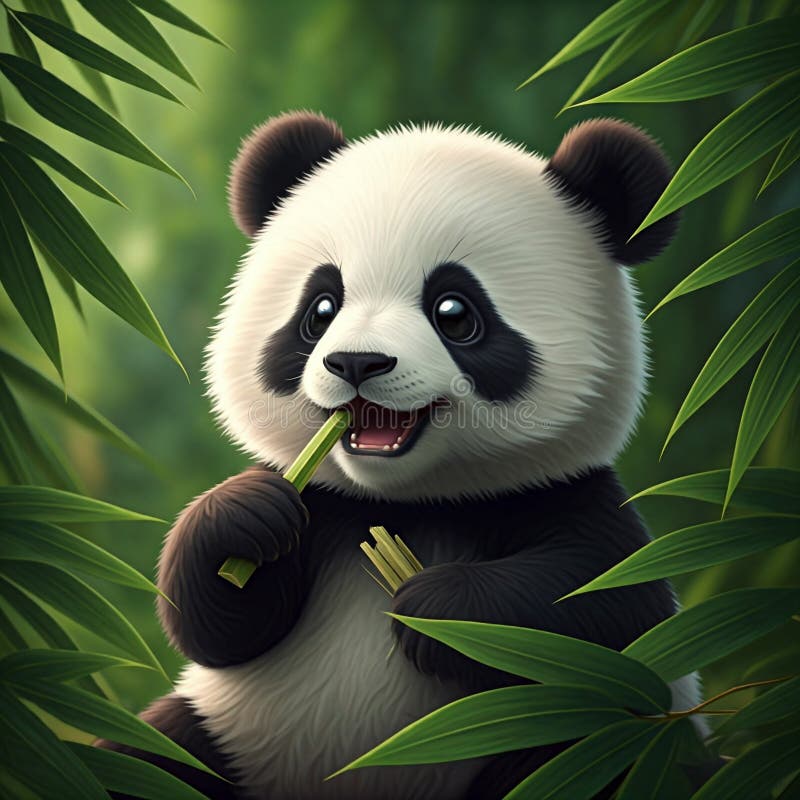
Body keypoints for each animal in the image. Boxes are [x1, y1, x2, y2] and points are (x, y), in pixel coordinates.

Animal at [98, 111, 706, 799]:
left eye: (454, 311)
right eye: (321, 308)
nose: (356, 362)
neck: (408, 503)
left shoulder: (568, 494)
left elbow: (610, 607)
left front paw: (433, 610)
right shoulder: (323, 508)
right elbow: (221, 629)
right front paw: (244, 518)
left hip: (596, 744)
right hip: (227, 736)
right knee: (149, 757)